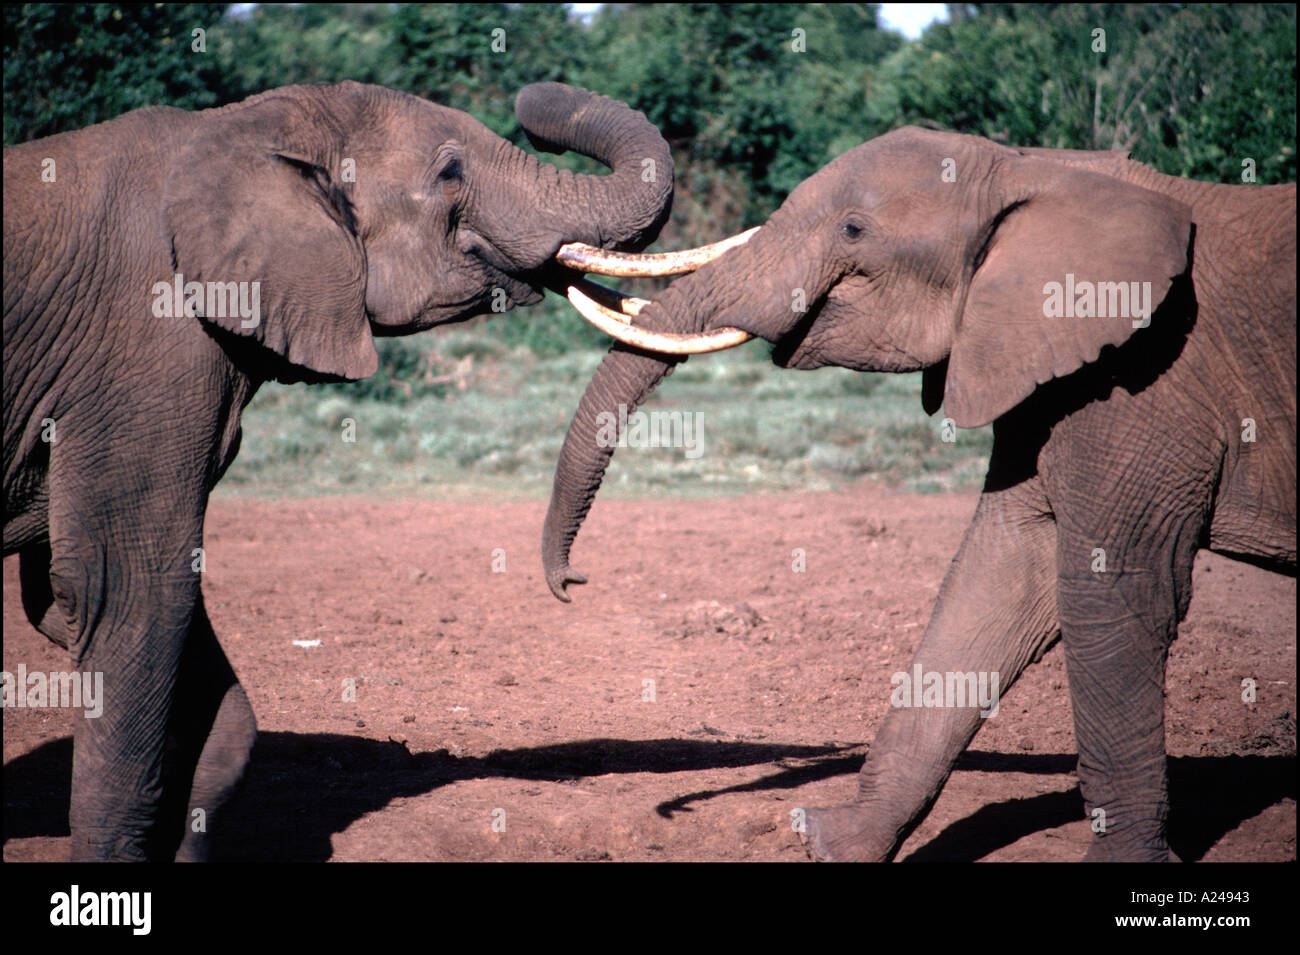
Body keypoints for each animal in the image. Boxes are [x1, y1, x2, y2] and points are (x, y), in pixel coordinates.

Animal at [2, 80, 696, 861]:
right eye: (450, 171)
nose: (573, 582)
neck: (239, 128)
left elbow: (80, 597)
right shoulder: (147, 348)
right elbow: (125, 587)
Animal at [541, 126, 1297, 861]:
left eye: (853, 230)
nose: (571, 582)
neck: (1035, 170)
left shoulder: (1148, 383)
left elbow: (1112, 597)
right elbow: (996, 580)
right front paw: (827, 841)